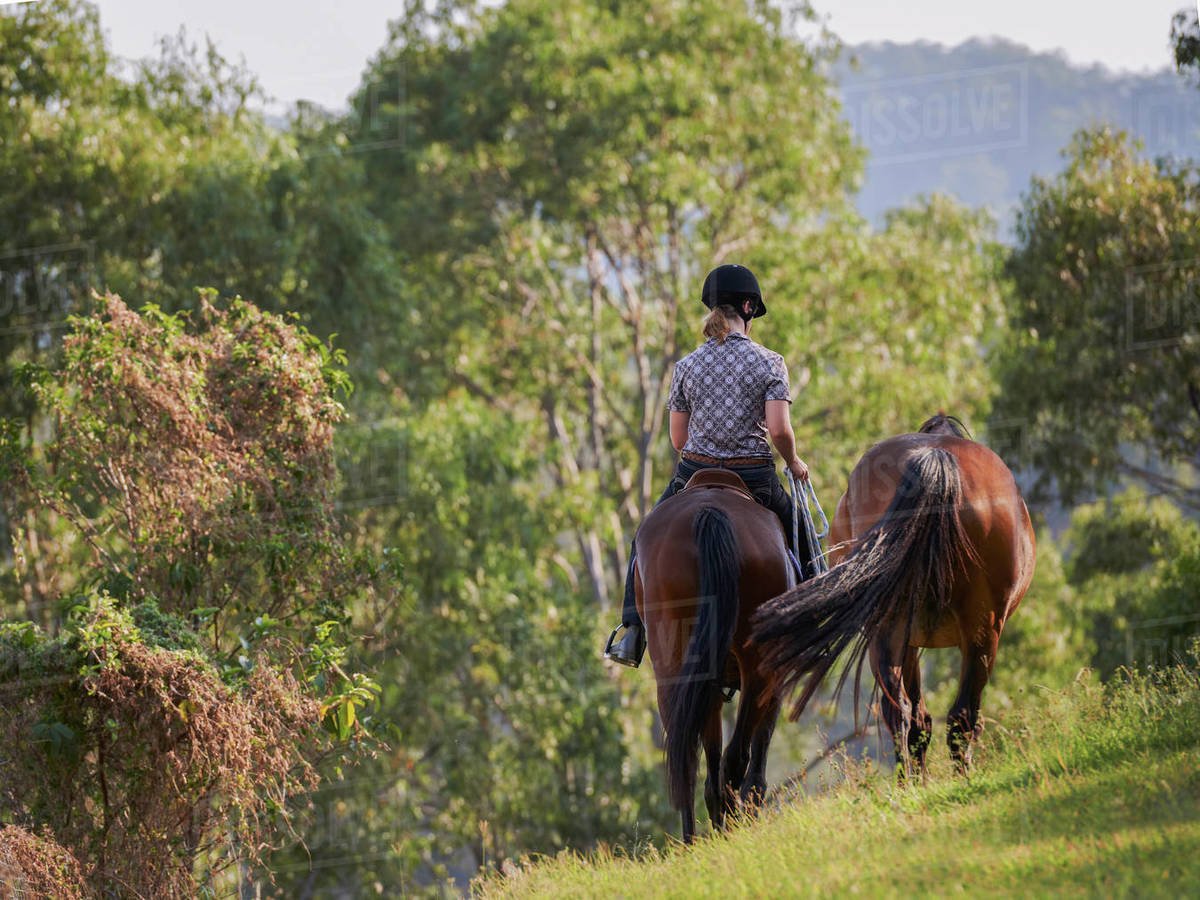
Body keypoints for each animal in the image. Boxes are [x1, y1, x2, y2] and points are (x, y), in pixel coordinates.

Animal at [633, 467, 797, 843]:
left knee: (686, 761)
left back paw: (694, 840)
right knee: (736, 758)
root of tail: (710, 513)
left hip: (674, 664)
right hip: (758, 663)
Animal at [752, 414, 1036, 779]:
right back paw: (957, 779)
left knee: (899, 710)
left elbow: (918, 717)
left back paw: (907, 783)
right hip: (981, 628)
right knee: (959, 715)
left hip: (887, 625)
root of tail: (936, 457)